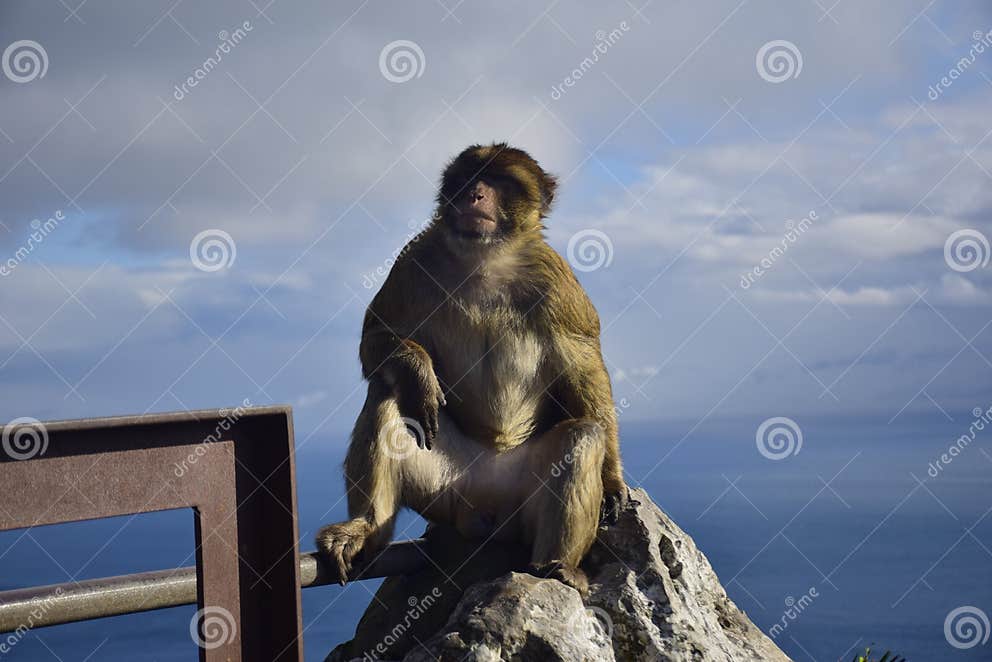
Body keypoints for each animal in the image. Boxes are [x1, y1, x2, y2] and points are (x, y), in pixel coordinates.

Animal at [317, 142, 626, 594]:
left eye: (499, 181)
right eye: (468, 176)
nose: (475, 194)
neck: (486, 258)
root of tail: (486, 509)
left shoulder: (556, 282)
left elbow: (584, 366)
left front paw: (614, 479)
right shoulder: (414, 259)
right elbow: (377, 334)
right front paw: (419, 371)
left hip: (521, 500)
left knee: (582, 436)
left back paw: (559, 566)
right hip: (447, 489)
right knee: (389, 394)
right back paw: (363, 528)